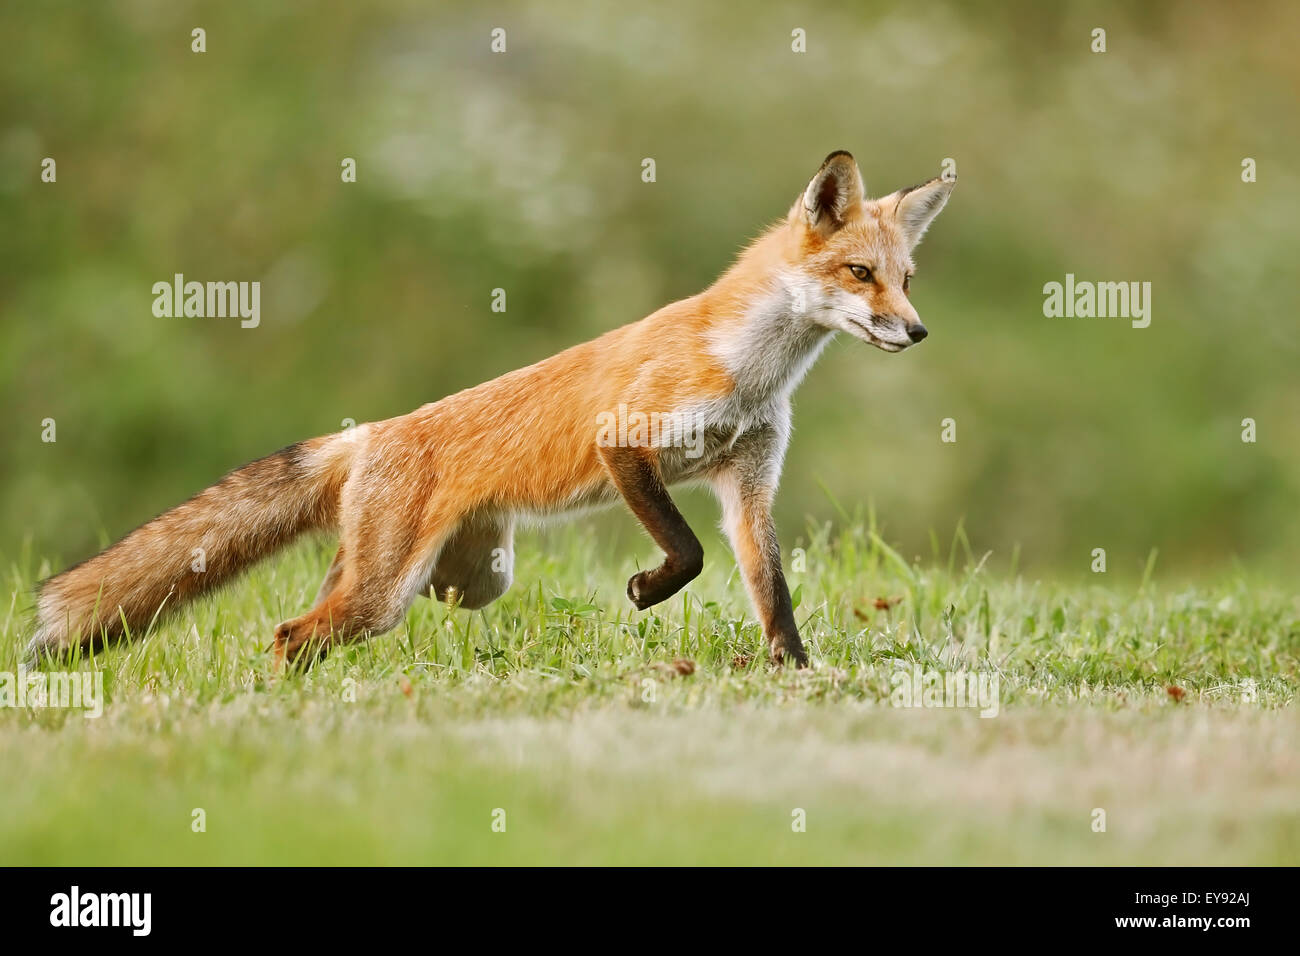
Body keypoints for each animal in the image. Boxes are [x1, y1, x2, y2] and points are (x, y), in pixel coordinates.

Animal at [30, 151, 954, 670]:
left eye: (907, 279)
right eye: (861, 275)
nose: (917, 331)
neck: (755, 369)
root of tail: (369, 434)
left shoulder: (749, 480)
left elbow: (773, 590)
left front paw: (796, 674)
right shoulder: (626, 440)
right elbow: (688, 552)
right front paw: (650, 588)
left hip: (464, 580)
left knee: (323, 614)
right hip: (390, 591)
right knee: (296, 631)